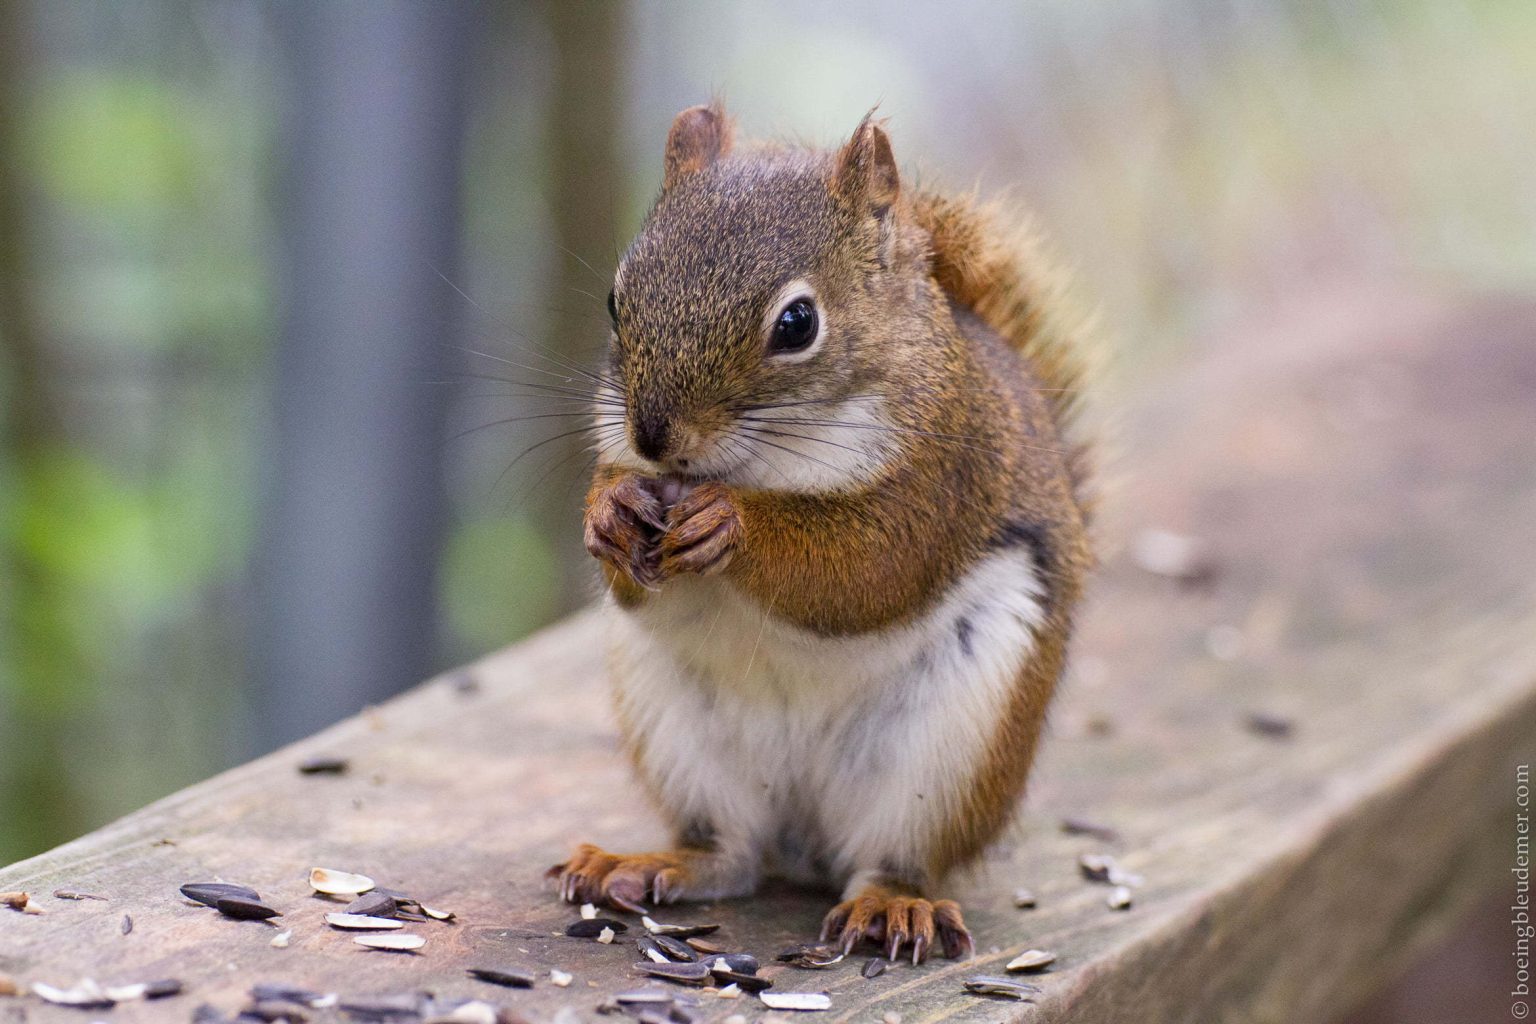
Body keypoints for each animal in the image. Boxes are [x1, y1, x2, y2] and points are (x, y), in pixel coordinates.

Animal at [550, 103, 1093, 963]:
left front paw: (731, 523)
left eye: (797, 323)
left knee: (890, 857)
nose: (654, 437)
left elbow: (865, 572)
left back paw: (892, 906)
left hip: (949, 752)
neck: (759, 466)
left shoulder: (945, 470)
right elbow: (631, 573)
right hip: (680, 735)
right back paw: (643, 864)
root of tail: (803, 836)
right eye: (613, 298)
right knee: (730, 852)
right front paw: (610, 510)